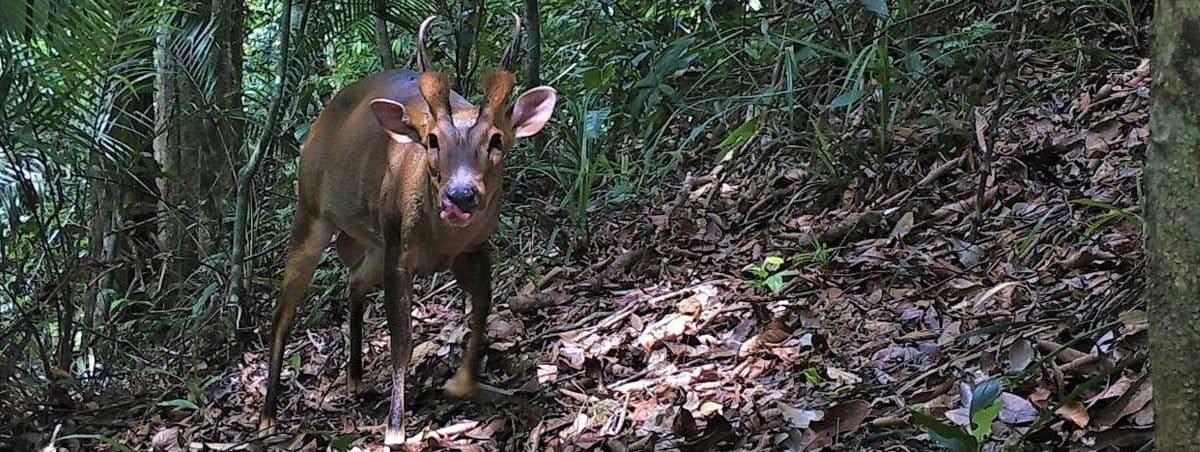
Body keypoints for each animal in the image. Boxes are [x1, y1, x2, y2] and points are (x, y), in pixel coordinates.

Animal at [257, 14, 557, 446]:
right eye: (432, 140)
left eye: (497, 140)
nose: (460, 194)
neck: (439, 241)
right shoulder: (399, 252)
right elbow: (402, 339)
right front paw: (395, 427)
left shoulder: (473, 248)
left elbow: (483, 306)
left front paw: (461, 383)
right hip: (311, 208)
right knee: (283, 312)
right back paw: (268, 416)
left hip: (375, 238)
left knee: (354, 281)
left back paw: (355, 378)